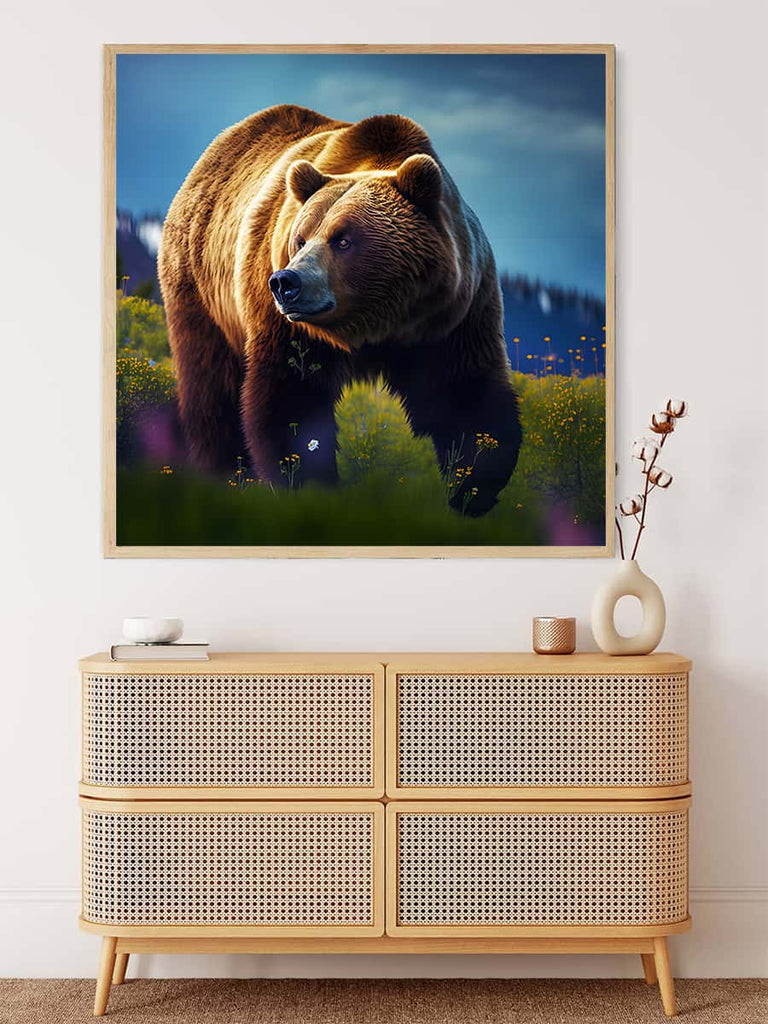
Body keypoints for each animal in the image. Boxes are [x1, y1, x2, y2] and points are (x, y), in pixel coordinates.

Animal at [158, 104, 521, 516]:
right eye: (300, 238)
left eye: (343, 239)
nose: (286, 283)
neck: (377, 320)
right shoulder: (290, 328)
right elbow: (290, 400)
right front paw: (310, 486)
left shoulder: (452, 315)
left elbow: (466, 396)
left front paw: (472, 490)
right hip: (201, 290)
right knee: (211, 387)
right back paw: (226, 473)